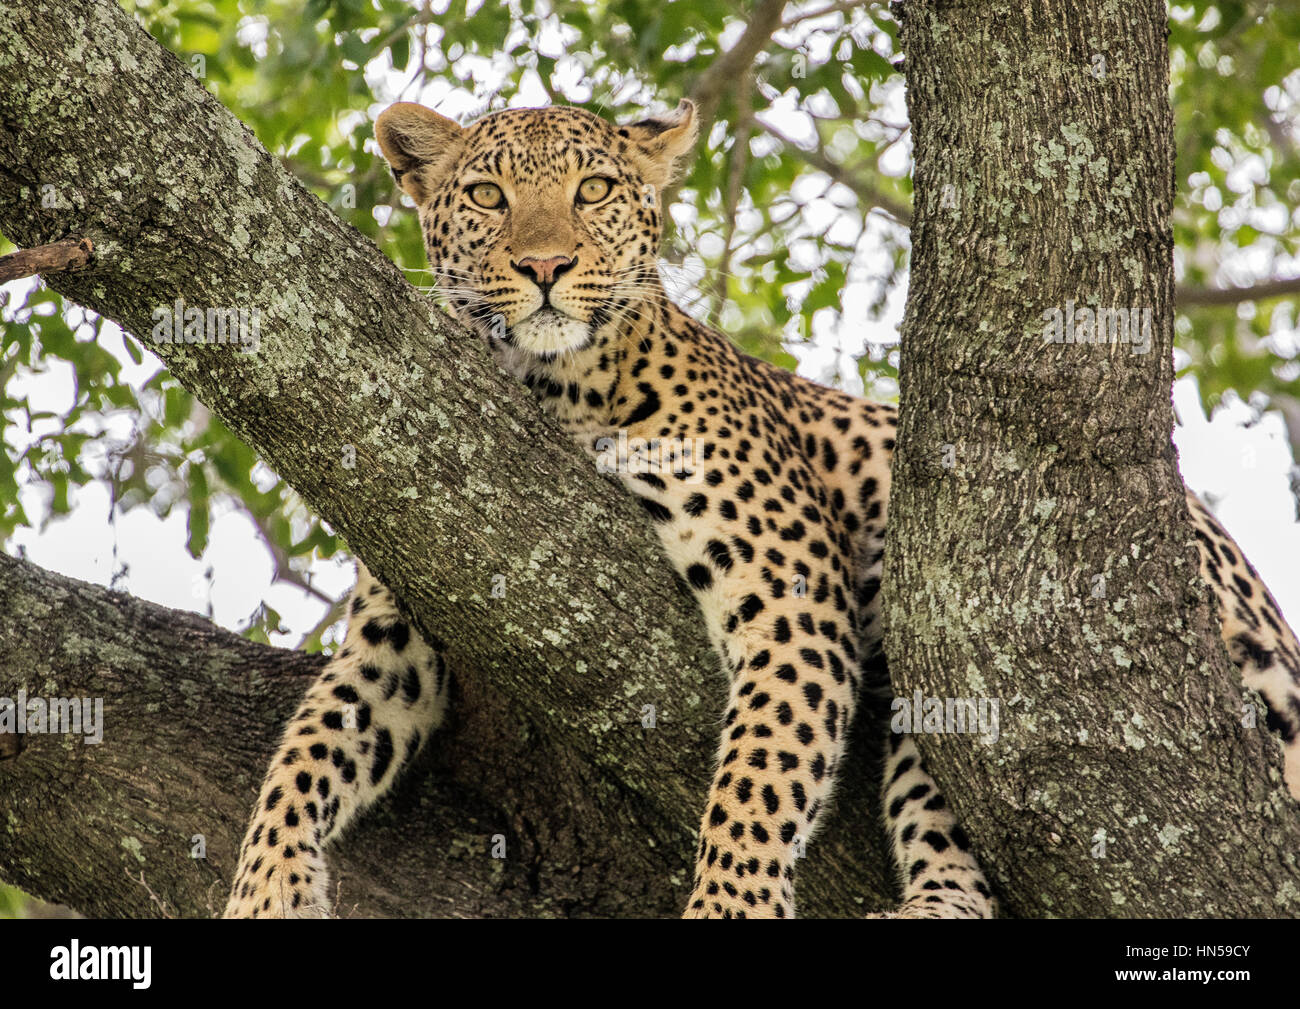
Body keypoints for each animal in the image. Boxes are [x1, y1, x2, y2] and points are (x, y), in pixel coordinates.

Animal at [223, 97, 1300, 919]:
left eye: (593, 190)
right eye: (488, 196)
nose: (544, 268)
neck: (551, 387)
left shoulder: (793, 603)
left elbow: (752, 788)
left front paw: (727, 905)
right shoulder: (396, 628)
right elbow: (299, 760)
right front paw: (263, 892)